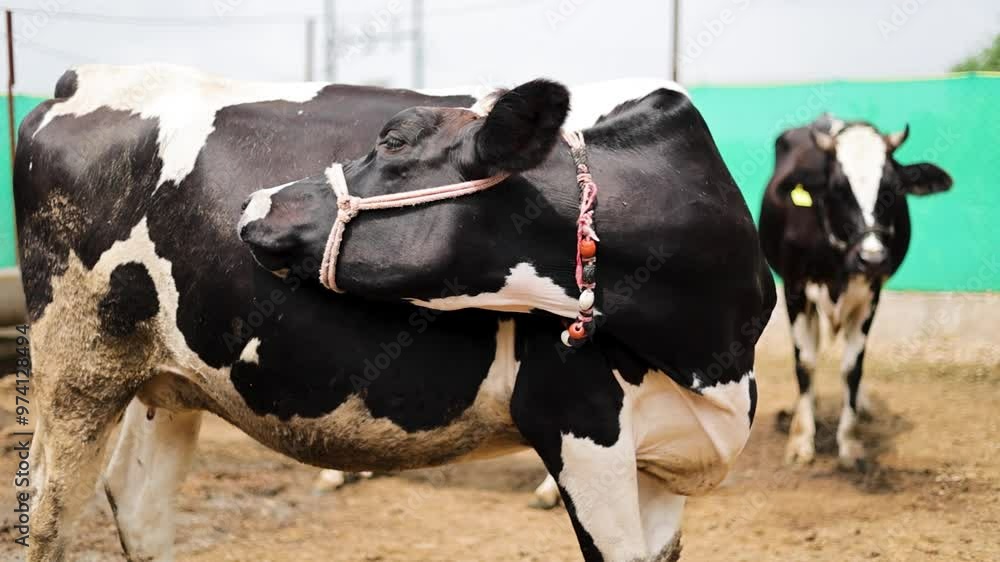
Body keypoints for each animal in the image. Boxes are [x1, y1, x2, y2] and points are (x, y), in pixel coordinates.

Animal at [16, 63, 763, 562]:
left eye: (395, 145)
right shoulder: (578, 421)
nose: (254, 205)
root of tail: (80, 81)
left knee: (139, 503)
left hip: (167, 376)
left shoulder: (664, 457)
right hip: (77, 364)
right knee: (52, 512)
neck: (707, 353)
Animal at [758, 114, 952, 468]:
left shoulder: (871, 296)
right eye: (838, 188)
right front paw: (801, 440)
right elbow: (805, 362)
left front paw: (849, 441)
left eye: (893, 189)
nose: (872, 257)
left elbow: (852, 368)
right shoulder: (794, 289)